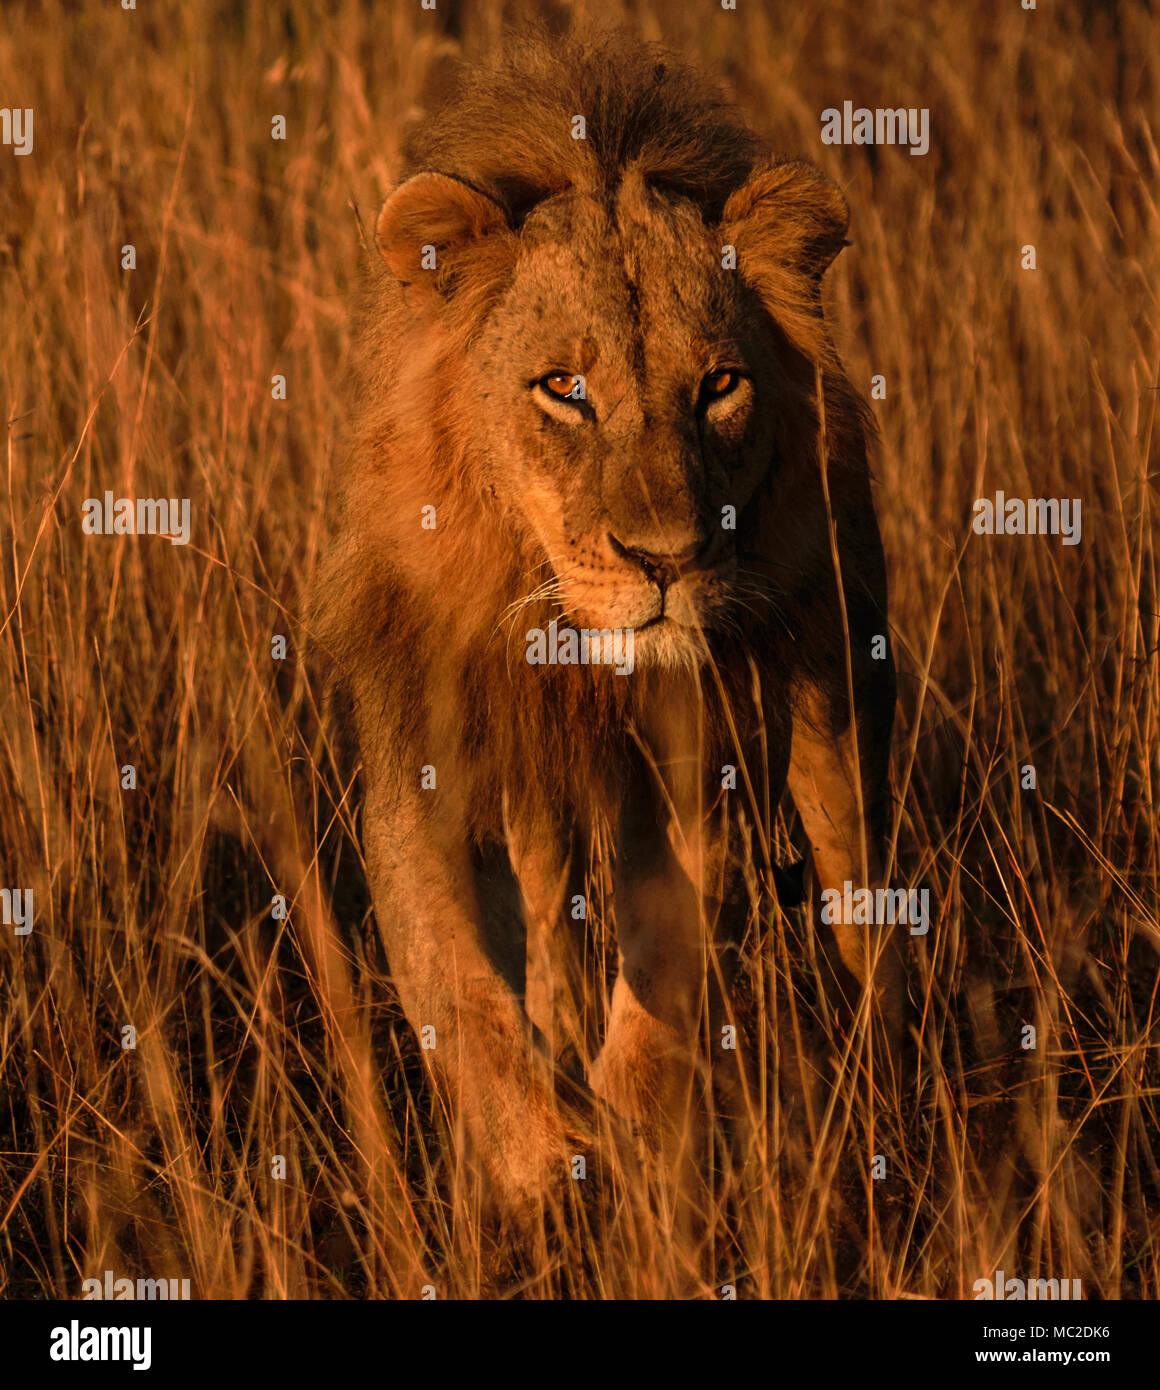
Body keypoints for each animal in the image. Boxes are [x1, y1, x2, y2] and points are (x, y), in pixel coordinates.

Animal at [313, 35, 902, 1222]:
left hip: (837, 720)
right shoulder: (418, 761)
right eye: (563, 388)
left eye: (718, 386)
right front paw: (536, 1156)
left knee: (856, 895)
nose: (668, 560)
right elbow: (453, 979)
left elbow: (668, 954)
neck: (565, 654)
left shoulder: (696, 756)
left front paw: (628, 1128)